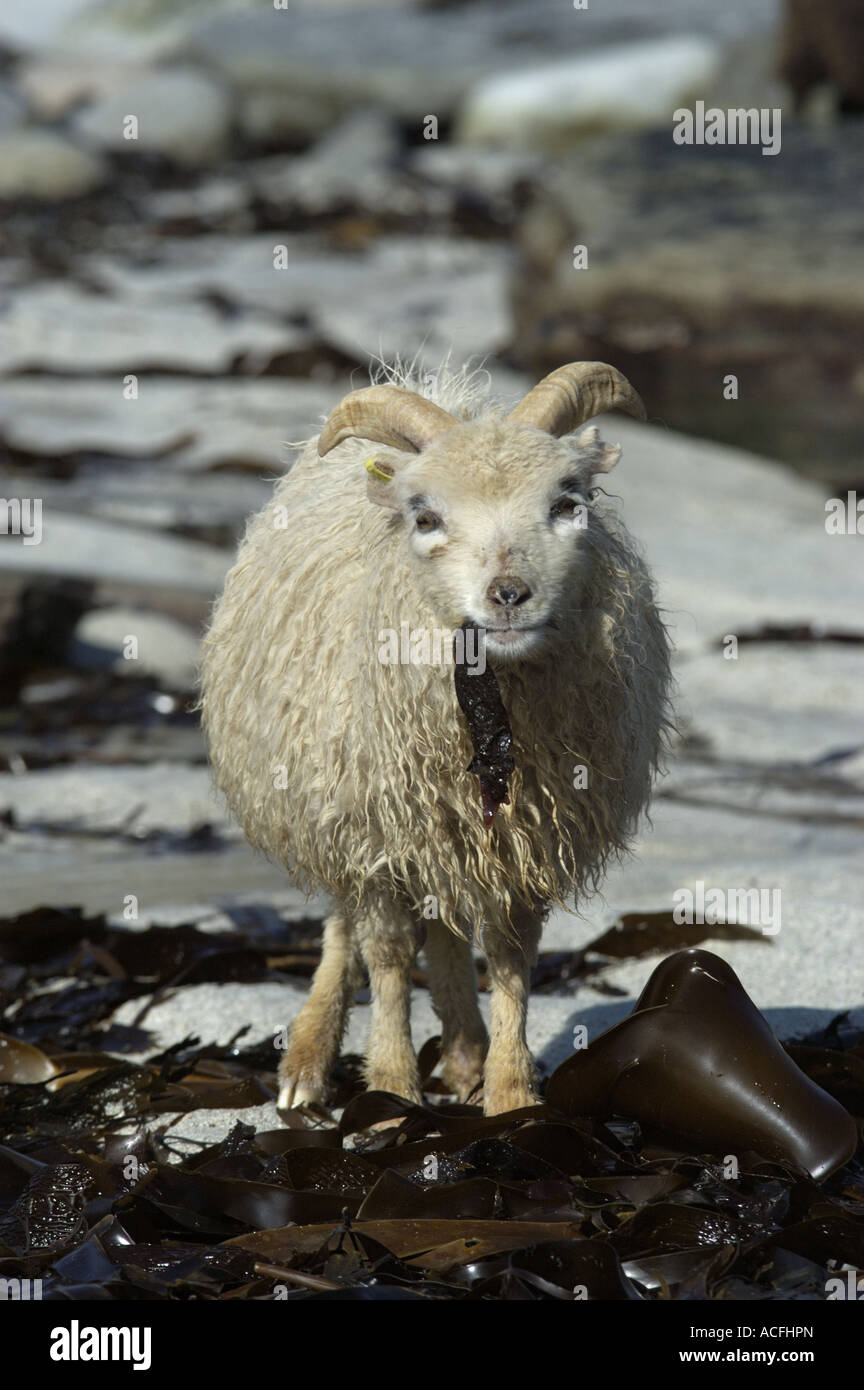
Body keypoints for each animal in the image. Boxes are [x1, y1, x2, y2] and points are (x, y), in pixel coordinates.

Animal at [199, 360, 673, 1117]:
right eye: (425, 518)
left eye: (569, 504)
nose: (508, 595)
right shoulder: (373, 831)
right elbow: (389, 955)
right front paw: (391, 1090)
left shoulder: (524, 839)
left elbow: (509, 957)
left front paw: (510, 1093)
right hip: (339, 809)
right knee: (349, 927)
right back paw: (308, 1060)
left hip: (445, 832)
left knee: (447, 928)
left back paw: (464, 1054)